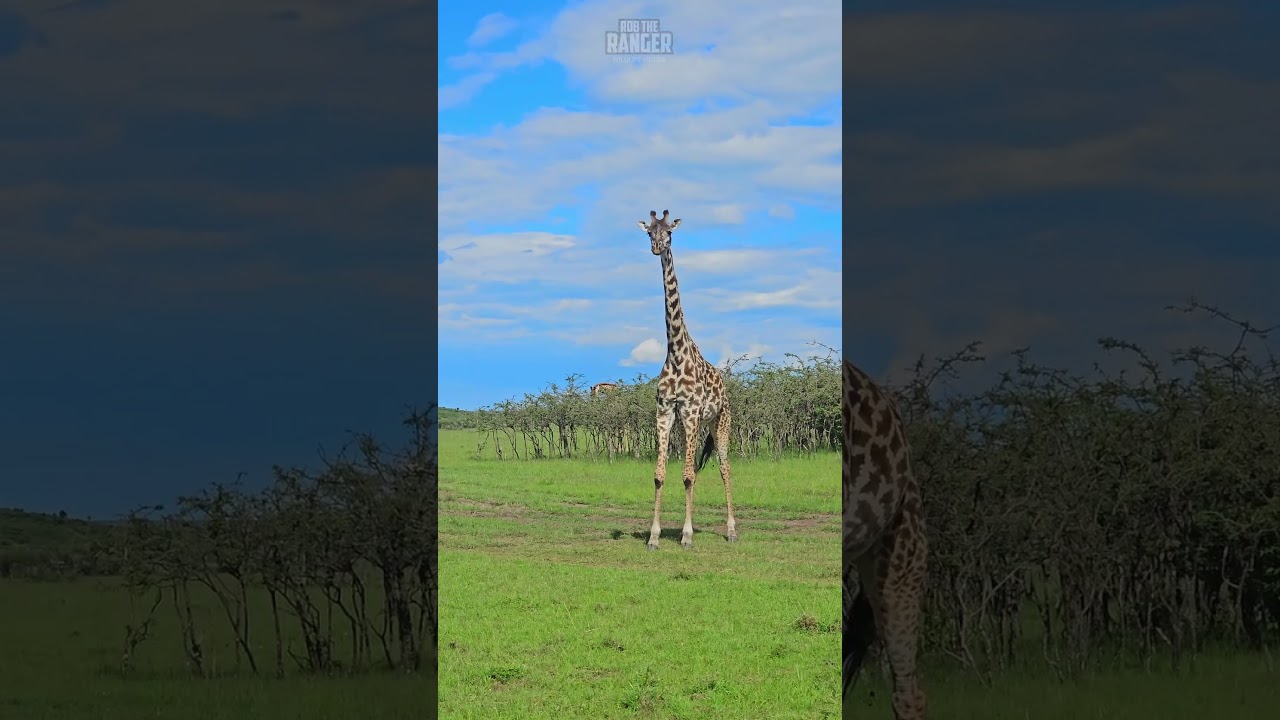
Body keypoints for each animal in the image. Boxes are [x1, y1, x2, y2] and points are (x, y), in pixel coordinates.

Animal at [637, 209, 735, 551]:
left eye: (670, 232)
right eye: (649, 231)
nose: (657, 247)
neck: (676, 353)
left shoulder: (692, 412)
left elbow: (689, 475)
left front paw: (687, 535)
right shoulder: (666, 411)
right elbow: (660, 474)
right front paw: (654, 536)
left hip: (720, 421)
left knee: (724, 467)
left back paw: (732, 530)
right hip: (686, 426)